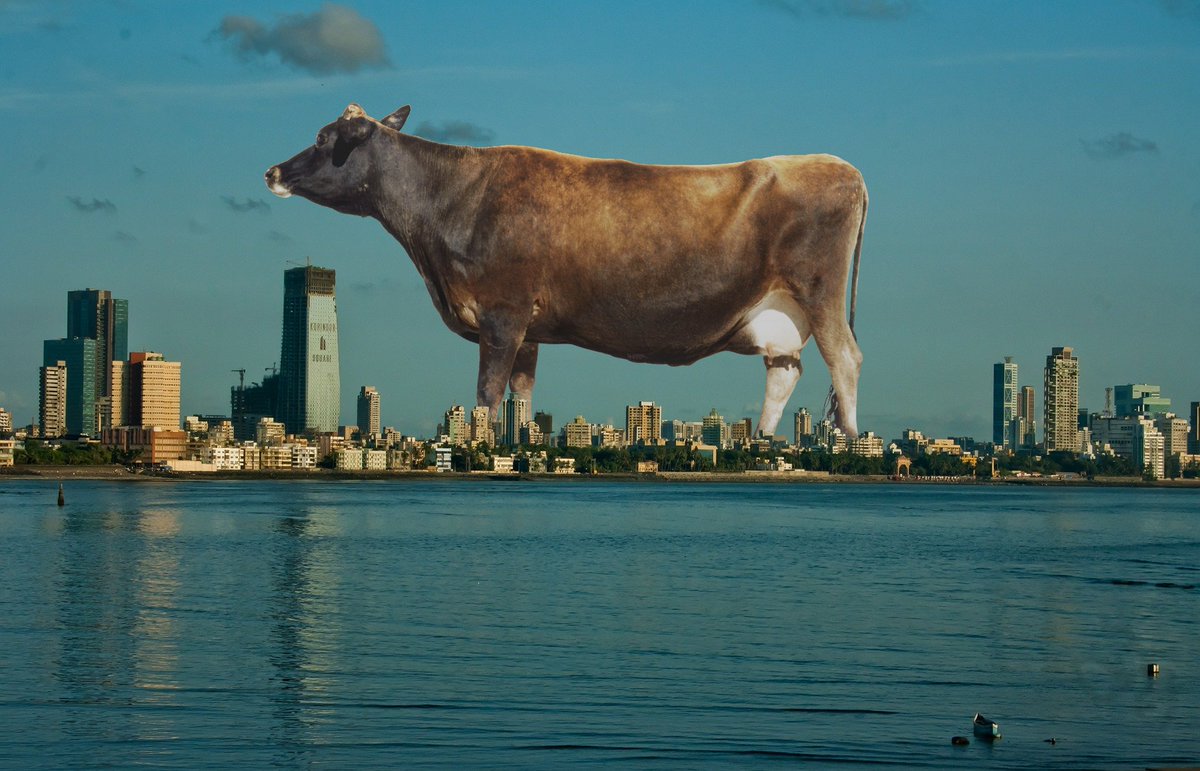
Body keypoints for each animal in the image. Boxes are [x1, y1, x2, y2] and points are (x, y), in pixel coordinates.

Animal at [266, 104, 867, 438]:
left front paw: (476, 447)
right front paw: (519, 447)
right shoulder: (528, 328)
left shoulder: (502, 311)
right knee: (784, 370)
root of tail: (842, 166)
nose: (272, 171)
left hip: (821, 291)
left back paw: (849, 440)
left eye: (321, 138)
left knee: (845, 358)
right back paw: (759, 445)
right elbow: (521, 398)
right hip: (781, 312)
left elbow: (486, 394)